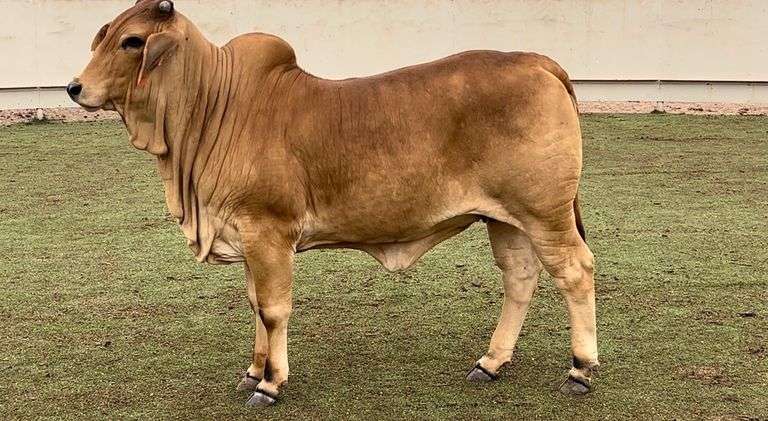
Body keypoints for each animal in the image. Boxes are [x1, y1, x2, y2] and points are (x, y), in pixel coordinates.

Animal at [67, 0, 599, 407]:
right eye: (103, 35)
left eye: (132, 41)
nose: (74, 87)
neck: (214, 105)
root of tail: (537, 62)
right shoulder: (246, 234)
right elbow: (254, 302)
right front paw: (253, 368)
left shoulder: (269, 231)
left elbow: (273, 308)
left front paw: (270, 383)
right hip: (505, 218)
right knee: (520, 277)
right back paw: (491, 362)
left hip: (545, 214)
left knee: (575, 272)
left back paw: (580, 369)